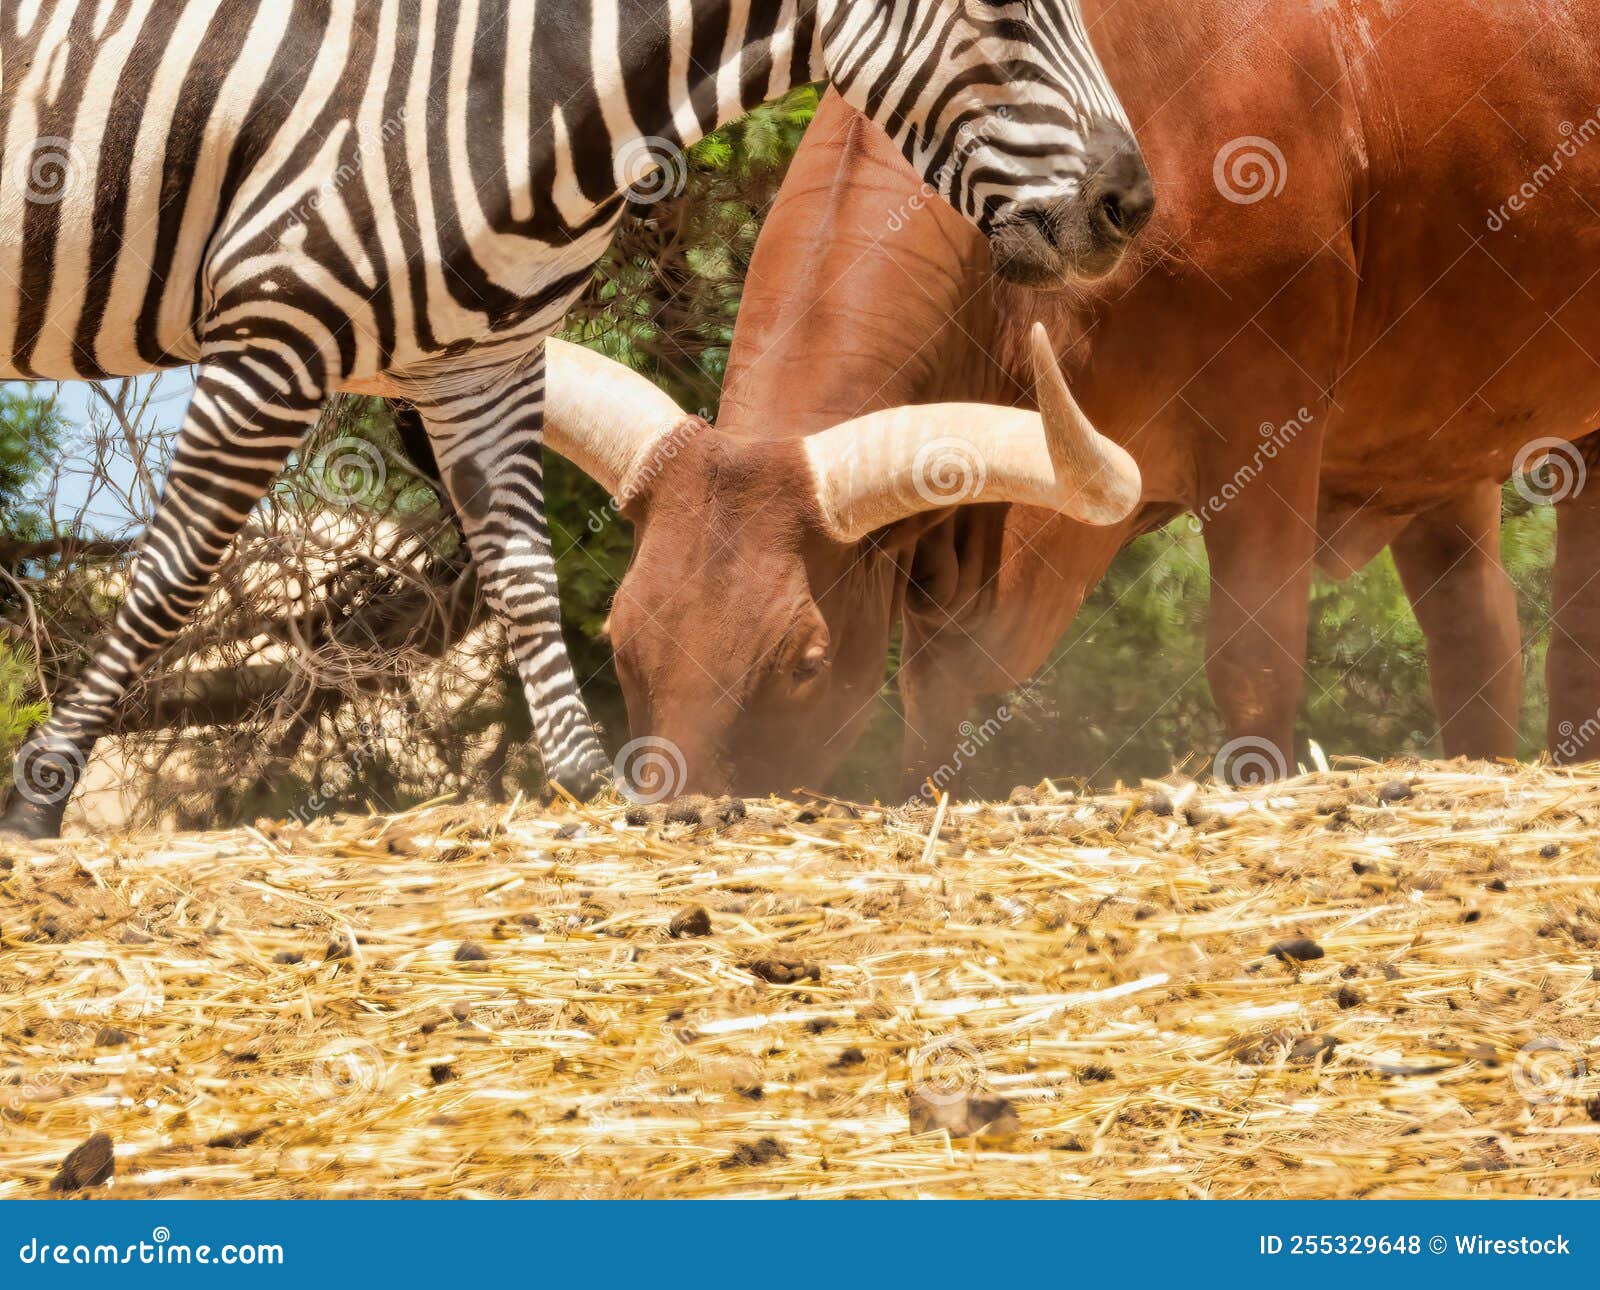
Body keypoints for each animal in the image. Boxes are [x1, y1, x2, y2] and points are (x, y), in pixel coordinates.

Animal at [0, 0, 1151, 840]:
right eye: (999, 16)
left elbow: (523, 576)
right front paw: (37, 802)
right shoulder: (275, 331)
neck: (522, 93)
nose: (1132, 205)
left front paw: (584, 787)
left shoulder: (482, 363)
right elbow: (171, 575)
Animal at [568, 0, 1600, 800]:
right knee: (1480, 634)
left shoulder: (1265, 438)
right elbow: (935, 698)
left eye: (804, 662)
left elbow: (1254, 668)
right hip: (1437, 455)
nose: (673, 808)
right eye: (621, 638)